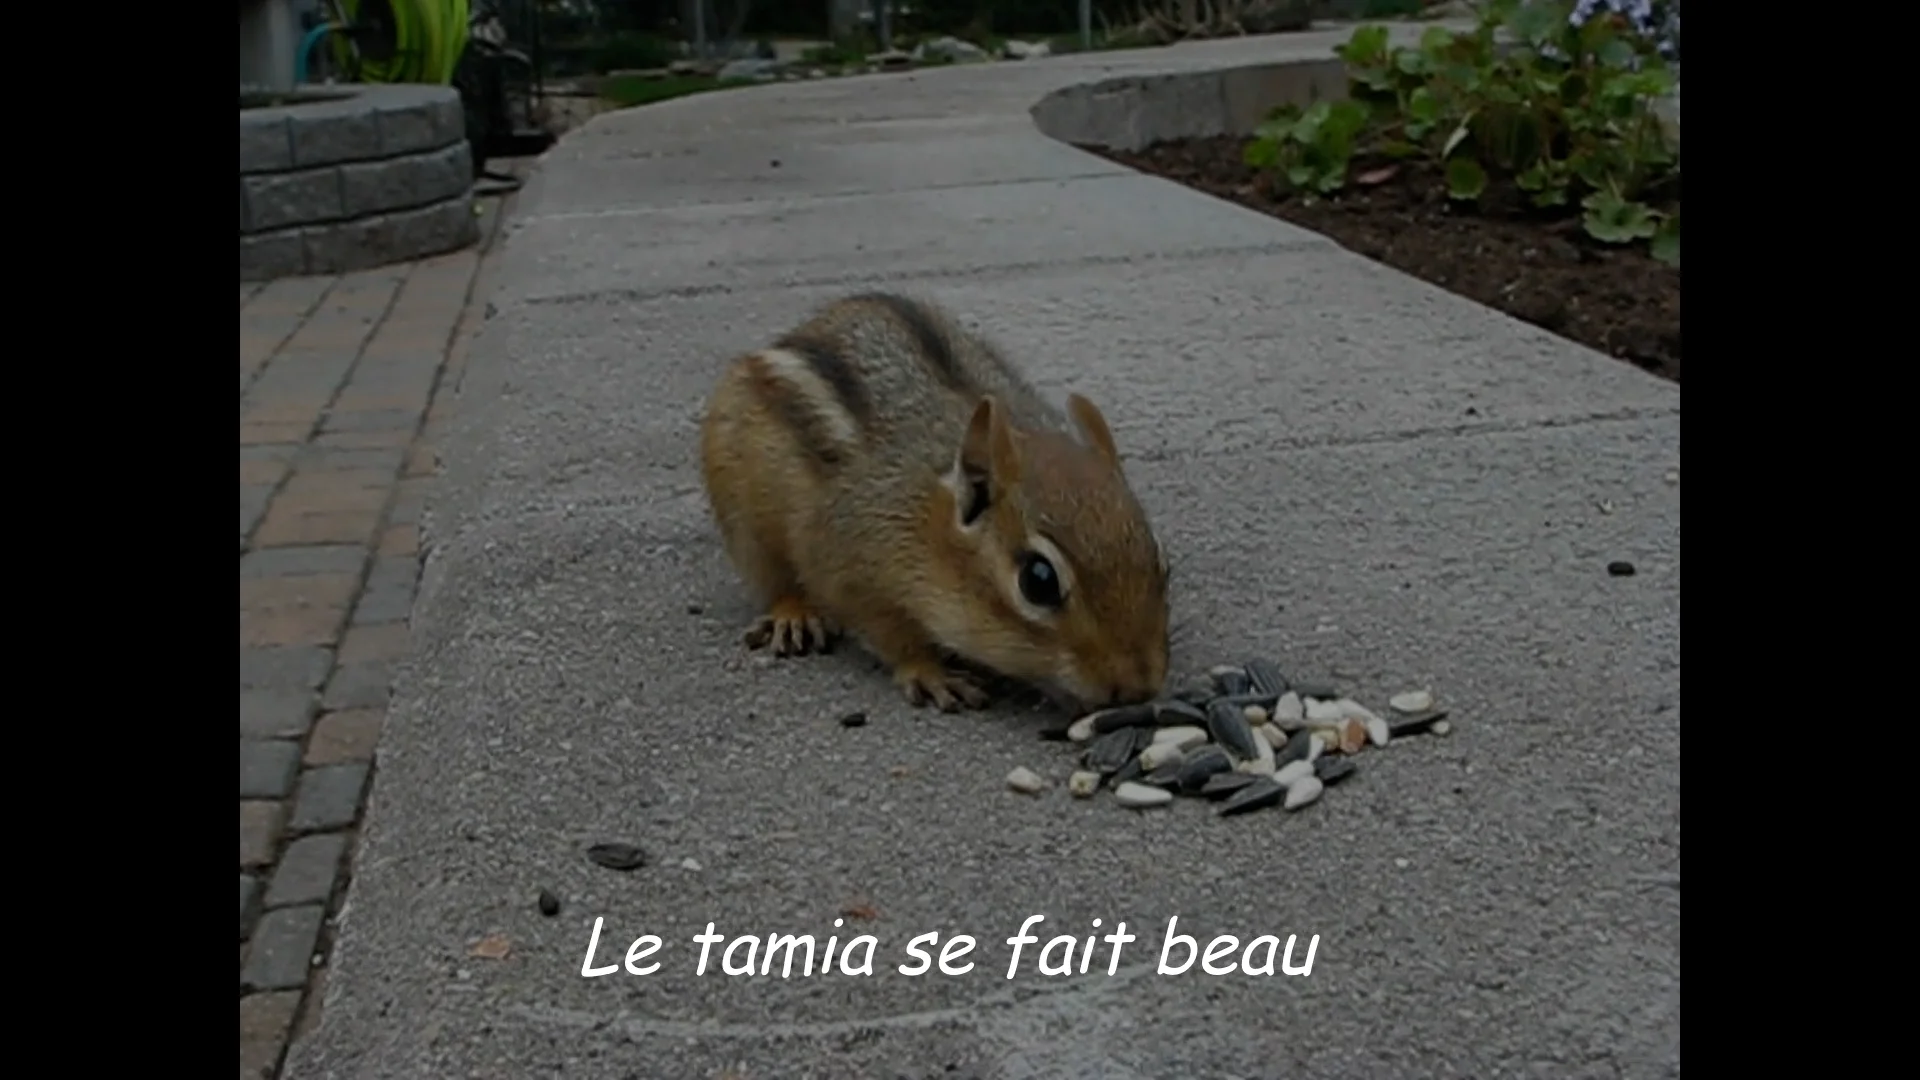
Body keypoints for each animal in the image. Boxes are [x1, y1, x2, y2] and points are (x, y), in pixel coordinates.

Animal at [697, 291, 1172, 714]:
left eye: (1160, 561)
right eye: (1038, 581)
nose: (1138, 686)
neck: (929, 514)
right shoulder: (848, 566)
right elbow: (889, 632)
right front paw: (930, 671)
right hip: (744, 519)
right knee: (772, 579)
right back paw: (794, 613)